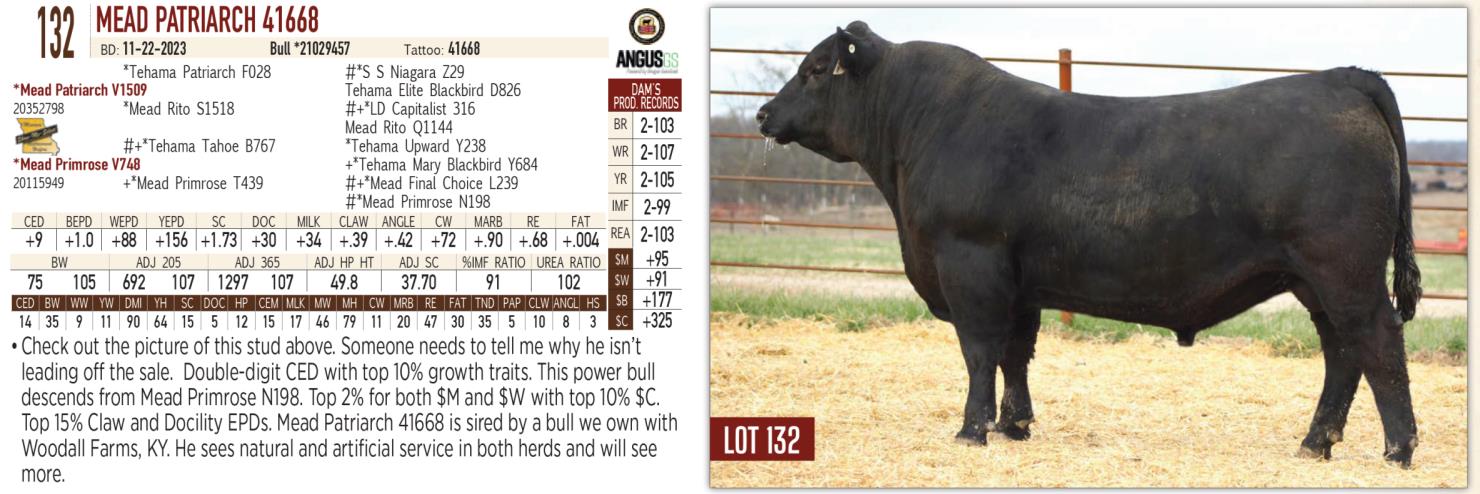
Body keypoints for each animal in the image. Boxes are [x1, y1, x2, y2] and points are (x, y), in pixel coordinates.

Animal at [756, 21, 1423, 466]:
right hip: (1313, 279)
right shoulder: (1018, 279)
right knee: (1342, 353)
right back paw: (1316, 443)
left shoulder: (969, 262)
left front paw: (972, 430)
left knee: (1378, 343)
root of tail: (1343, 80)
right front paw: (1015, 426)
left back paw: (1399, 448)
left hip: (1345, 271)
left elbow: (979, 351)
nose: (763, 114)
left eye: (814, 70)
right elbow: (1015, 353)